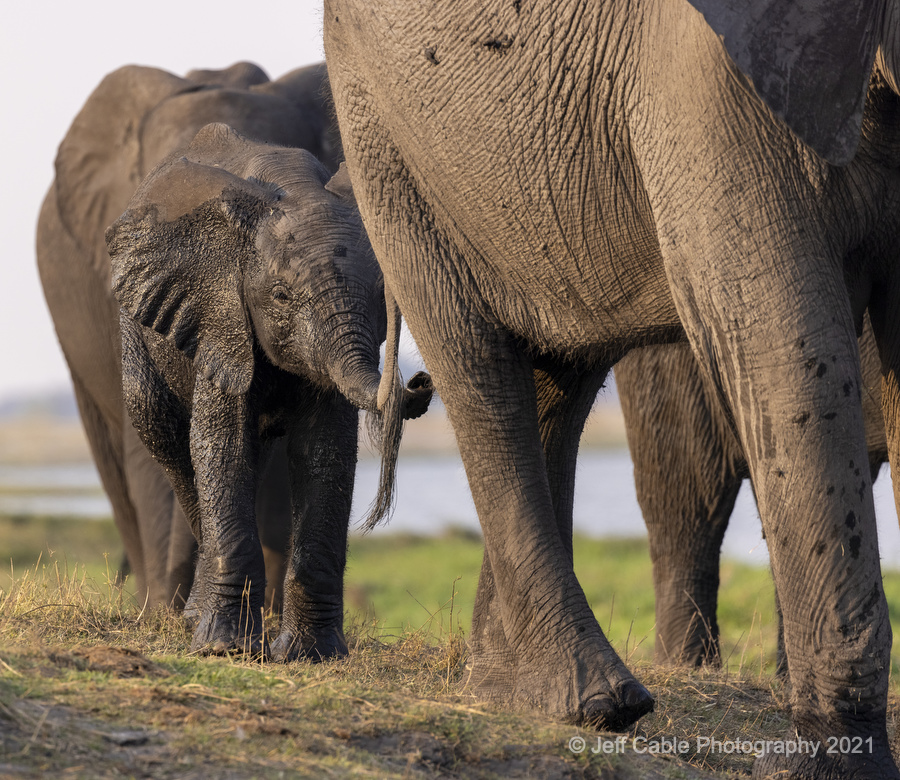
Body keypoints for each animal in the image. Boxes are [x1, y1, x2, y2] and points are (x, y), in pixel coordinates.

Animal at [105, 123, 433, 658]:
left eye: (376, 293)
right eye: (280, 295)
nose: (420, 381)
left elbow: (324, 454)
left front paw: (312, 656)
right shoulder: (220, 314)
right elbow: (220, 447)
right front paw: (224, 650)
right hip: (137, 325)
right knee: (170, 444)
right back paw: (197, 620)